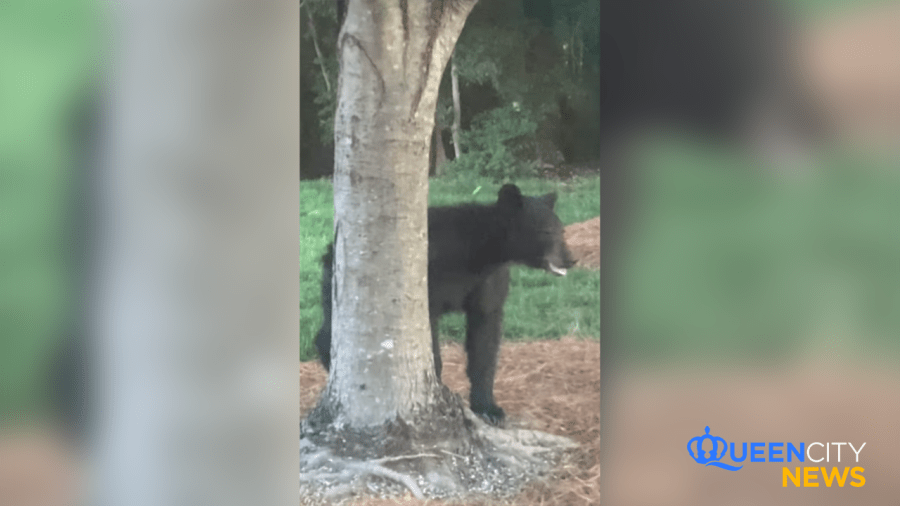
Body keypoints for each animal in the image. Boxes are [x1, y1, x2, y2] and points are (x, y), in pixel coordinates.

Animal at [315, 184, 575, 425]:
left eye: (562, 229)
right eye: (546, 230)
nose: (571, 259)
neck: (480, 252)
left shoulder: (489, 282)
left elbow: (485, 338)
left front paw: (489, 407)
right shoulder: (431, 279)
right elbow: (430, 335)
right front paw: (435, 389)